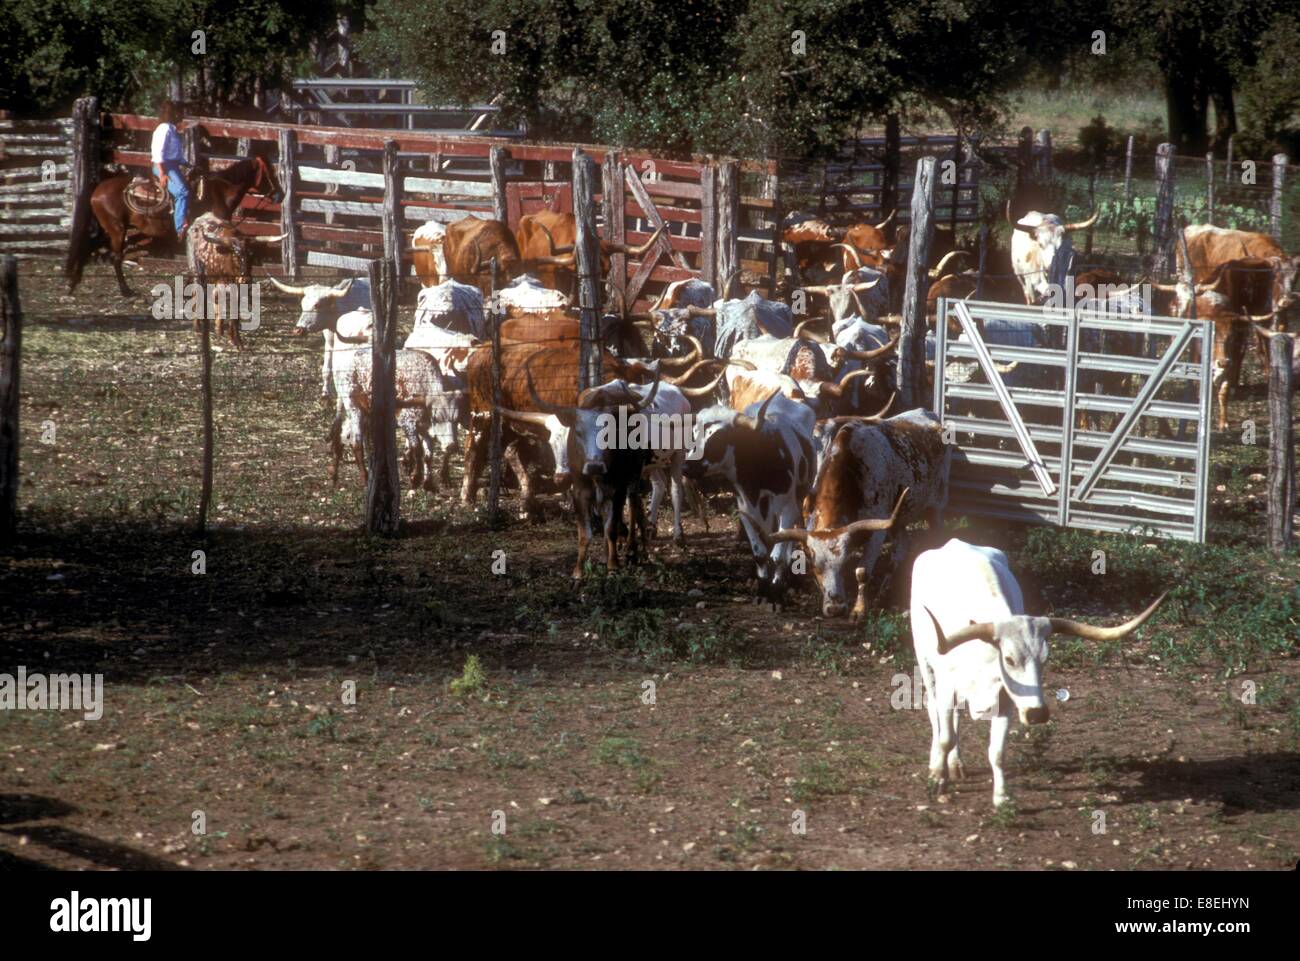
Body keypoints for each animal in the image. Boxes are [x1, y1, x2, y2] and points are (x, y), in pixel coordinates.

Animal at [685, 389, 816, 603]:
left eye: (718, 438)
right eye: (695, 433)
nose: (686, 466)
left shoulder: (787, 508)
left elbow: (779, 553)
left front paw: (776, 589)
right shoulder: (745, 508)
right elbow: (759, 552)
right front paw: (763, 589)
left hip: (797, 500)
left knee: (787, 541)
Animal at [752, 409, 947, 620]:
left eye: (845, 564)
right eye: (815, 565)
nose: (835, 608)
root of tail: (928, 413)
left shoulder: (877, 530)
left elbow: (862, 571)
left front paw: (858, 610)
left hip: (937, 508)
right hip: (898, 519)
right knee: (901, 548)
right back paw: (884, 592)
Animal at [911, 538, 1166, 807]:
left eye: (1045, 659)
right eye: (1009, 659)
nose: (1037, 714)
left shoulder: (1005, 699)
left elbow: (997, 751)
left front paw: (1001, 797)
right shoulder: (946, 689)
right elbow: (945, 737)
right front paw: (938, 779)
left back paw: (956, 764)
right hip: (925, 663)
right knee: (934, 715)